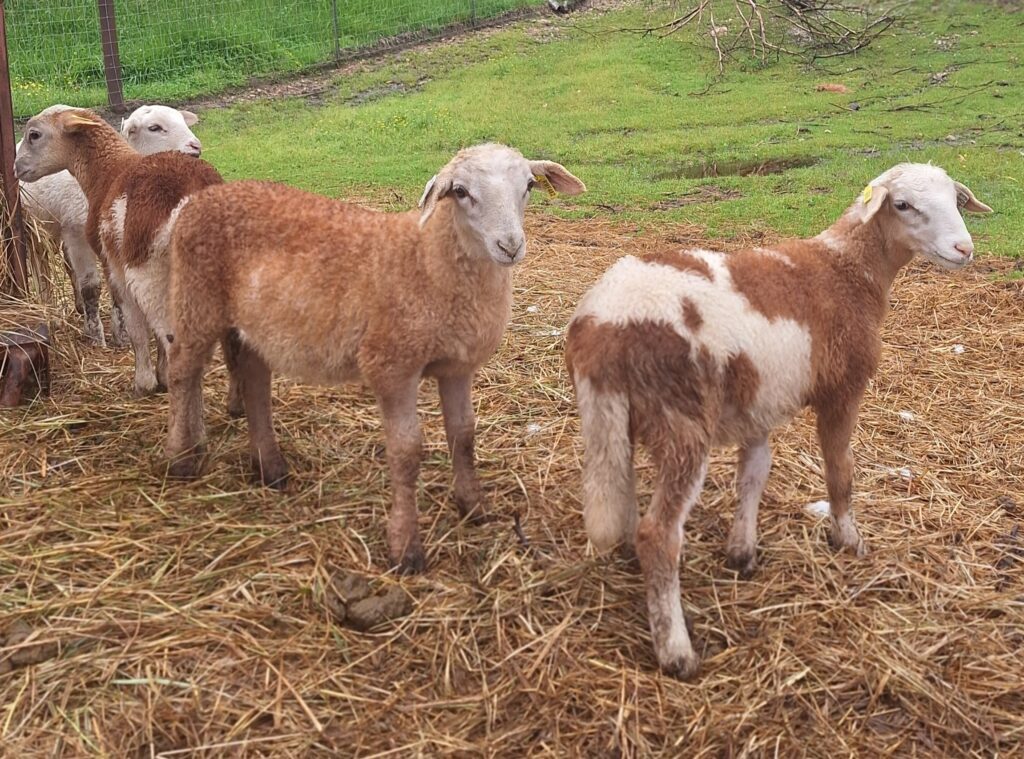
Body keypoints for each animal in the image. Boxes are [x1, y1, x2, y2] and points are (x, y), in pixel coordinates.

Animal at [14, 107, 228, 400]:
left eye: (34, 135)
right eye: (155, 127)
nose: (16, 167)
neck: (108, 171)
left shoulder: (118, 266)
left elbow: (135, 325)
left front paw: (145, 381)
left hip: (148, 270)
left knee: (171, 334)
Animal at [163, 143, 586, 573]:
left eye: (529, 185)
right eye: (461, 192)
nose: (510, 246)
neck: (427, 258)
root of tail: (196, 201)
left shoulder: (457, 366)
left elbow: (464, 436)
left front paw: (474, 507)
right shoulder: (391, 365)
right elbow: (406, 454)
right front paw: (406, 548)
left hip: (253, 323)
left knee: (252, 380)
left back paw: (271, 468)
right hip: (196, 297)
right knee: (182, 370)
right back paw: (180, 458)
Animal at [564, 163, 992, 679]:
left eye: (956, 200)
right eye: (903, 205)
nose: (963, 249)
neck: (848, 270)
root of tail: (603, 329)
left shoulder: (756, 405)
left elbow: (754, 474)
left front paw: (741, 551)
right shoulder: (842, 387)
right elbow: (840, 471)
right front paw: (848, 539)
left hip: (608, 419)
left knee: (622, 504)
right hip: (682, 417)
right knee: (659, 534)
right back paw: (676, 650)